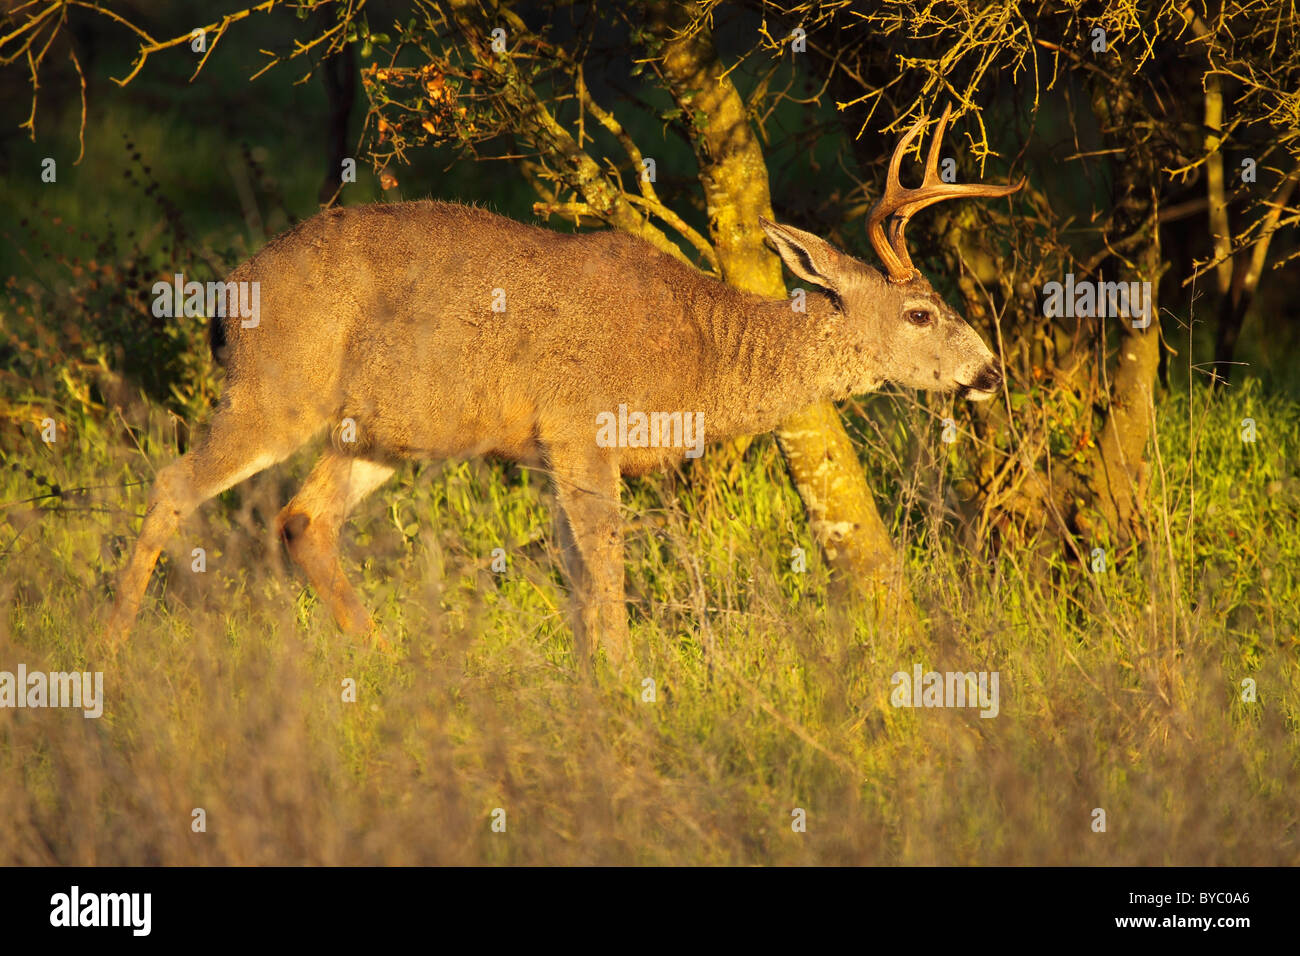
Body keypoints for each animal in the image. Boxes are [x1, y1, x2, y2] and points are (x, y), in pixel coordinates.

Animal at [103, 105, 1022, 665]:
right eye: (920, 313)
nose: (988, 370)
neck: (696, 355)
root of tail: (229, 292)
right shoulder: (582, 428)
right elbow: (607, 568)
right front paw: (622, 683)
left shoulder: (554, 451)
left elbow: (581, 576)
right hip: (275, 390)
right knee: (175, 481)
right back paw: (107, 649)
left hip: (376, 434)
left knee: (303, 520)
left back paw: (385, 658)